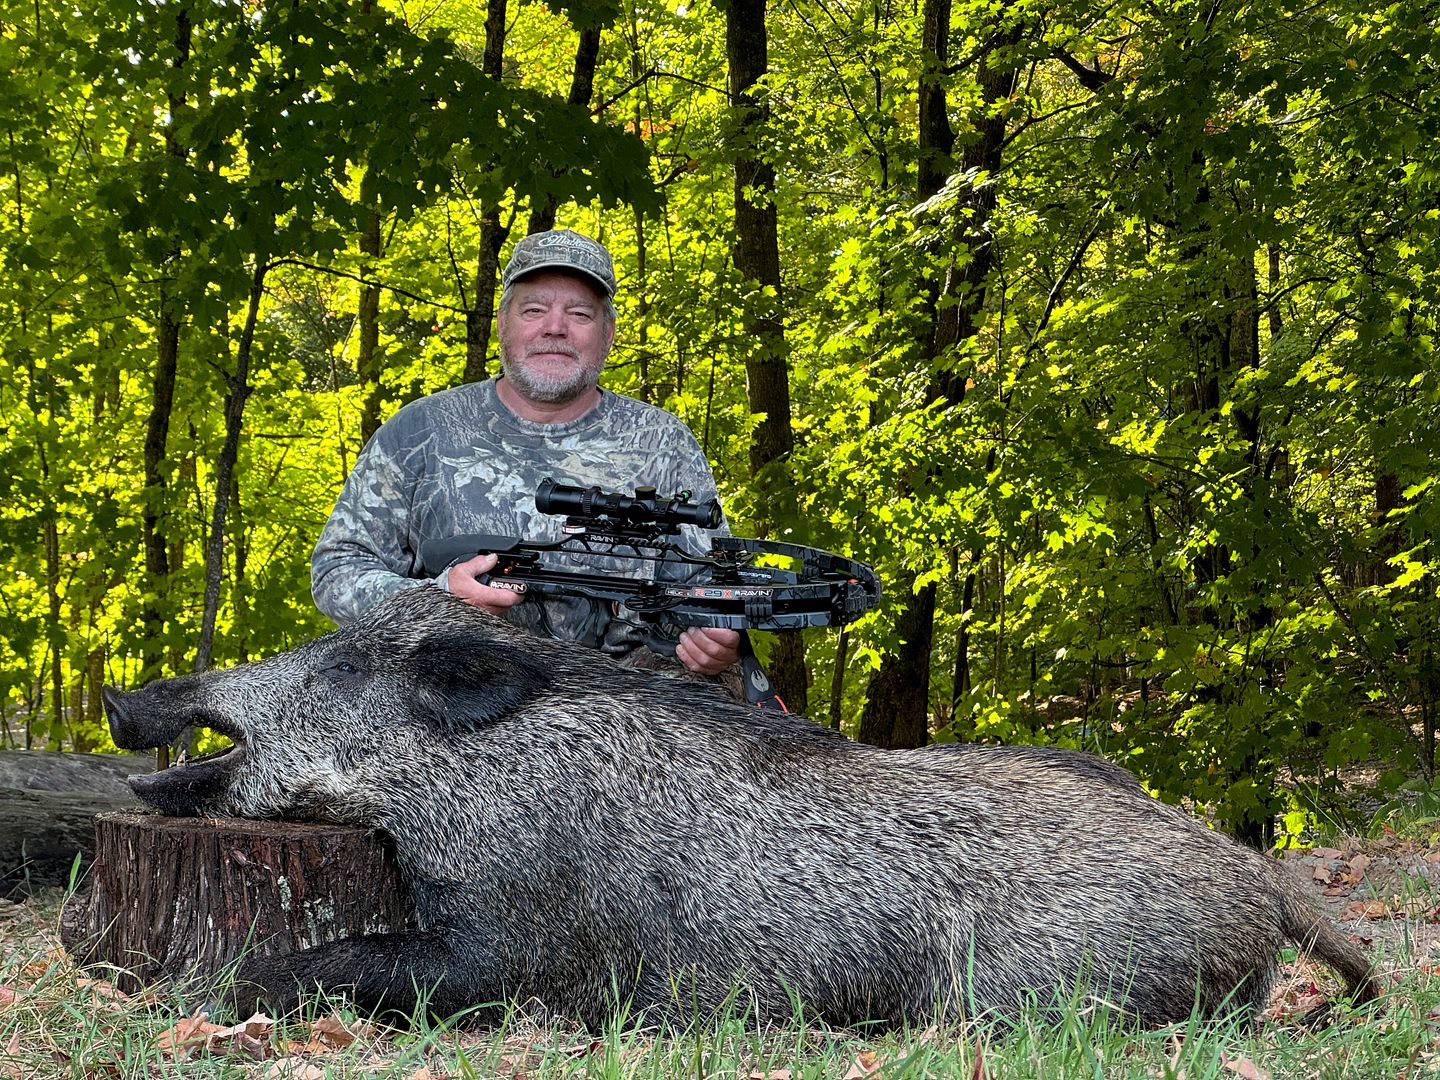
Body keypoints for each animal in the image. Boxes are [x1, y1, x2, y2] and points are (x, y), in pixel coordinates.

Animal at [102, 587, 1379, 1028]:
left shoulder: (517, 937)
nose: (122, 693)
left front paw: (227, 991)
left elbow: (368, 961)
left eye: (344, 664)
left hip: (1055, 987)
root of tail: (1251, 875)